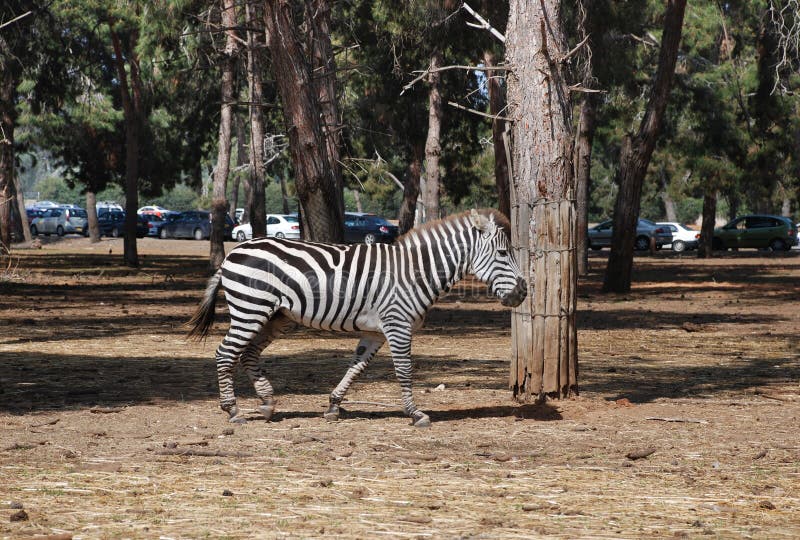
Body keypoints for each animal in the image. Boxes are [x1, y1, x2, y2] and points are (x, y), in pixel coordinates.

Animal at [187, 208, 527, 427]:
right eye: (502, 254)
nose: (523, 292)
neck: (415, 271)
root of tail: (233, 253)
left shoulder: (375, 332)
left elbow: (356, 368)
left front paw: (333, 405)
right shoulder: (398, 325)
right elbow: (404, 370)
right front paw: (415, 414)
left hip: (274, 315)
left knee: (248, 354)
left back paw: (268, 403)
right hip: (251, 308)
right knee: (225, 353)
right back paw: (233, 410)